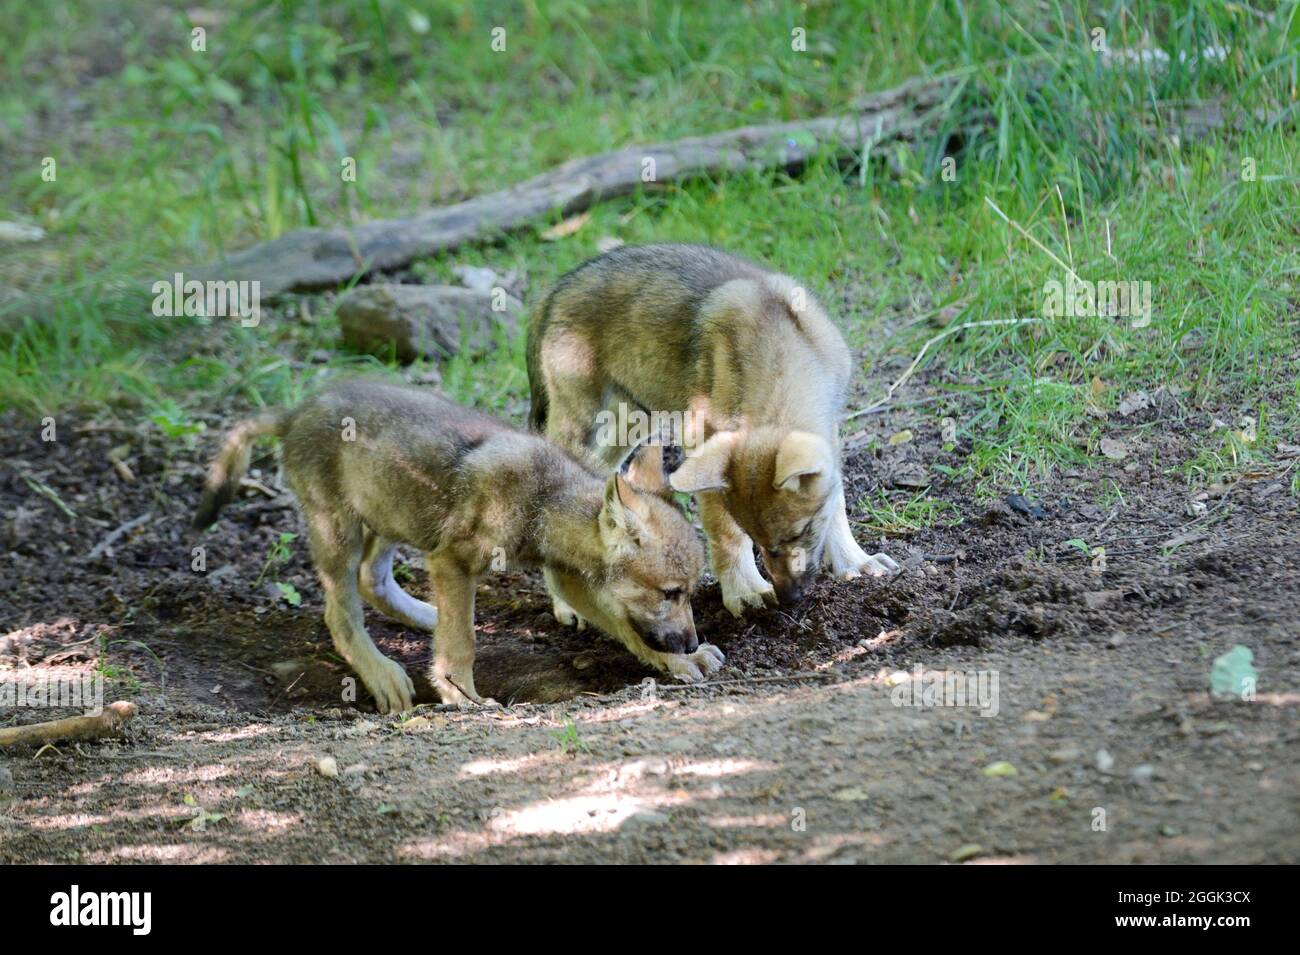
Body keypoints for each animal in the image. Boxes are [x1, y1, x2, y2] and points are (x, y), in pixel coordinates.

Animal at [193, 380, 720, 713]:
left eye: (689, 594)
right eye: (671, 593)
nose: (693, 641)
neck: (544, 502)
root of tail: (295, 411)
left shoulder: (570, 582)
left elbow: (630, 631)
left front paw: (680, 663)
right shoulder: (454, 560)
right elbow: (461, 644)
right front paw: (461, 696)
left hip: (395, 513)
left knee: (372, 581)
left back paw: (426, 617)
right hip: (344, 531)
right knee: (339, 614)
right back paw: (382, 672)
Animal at [528, 243, 898, 619]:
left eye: (801, 532)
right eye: (762, 540)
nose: (789, 598)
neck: (779, 349)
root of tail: (556, 288)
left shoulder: (829, 428)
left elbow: (836, 503)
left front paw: (855, 562)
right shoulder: (701, 436)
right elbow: (725, 532)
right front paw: (745, 591)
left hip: (632, 421)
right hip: (583, 423)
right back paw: (568, 604)